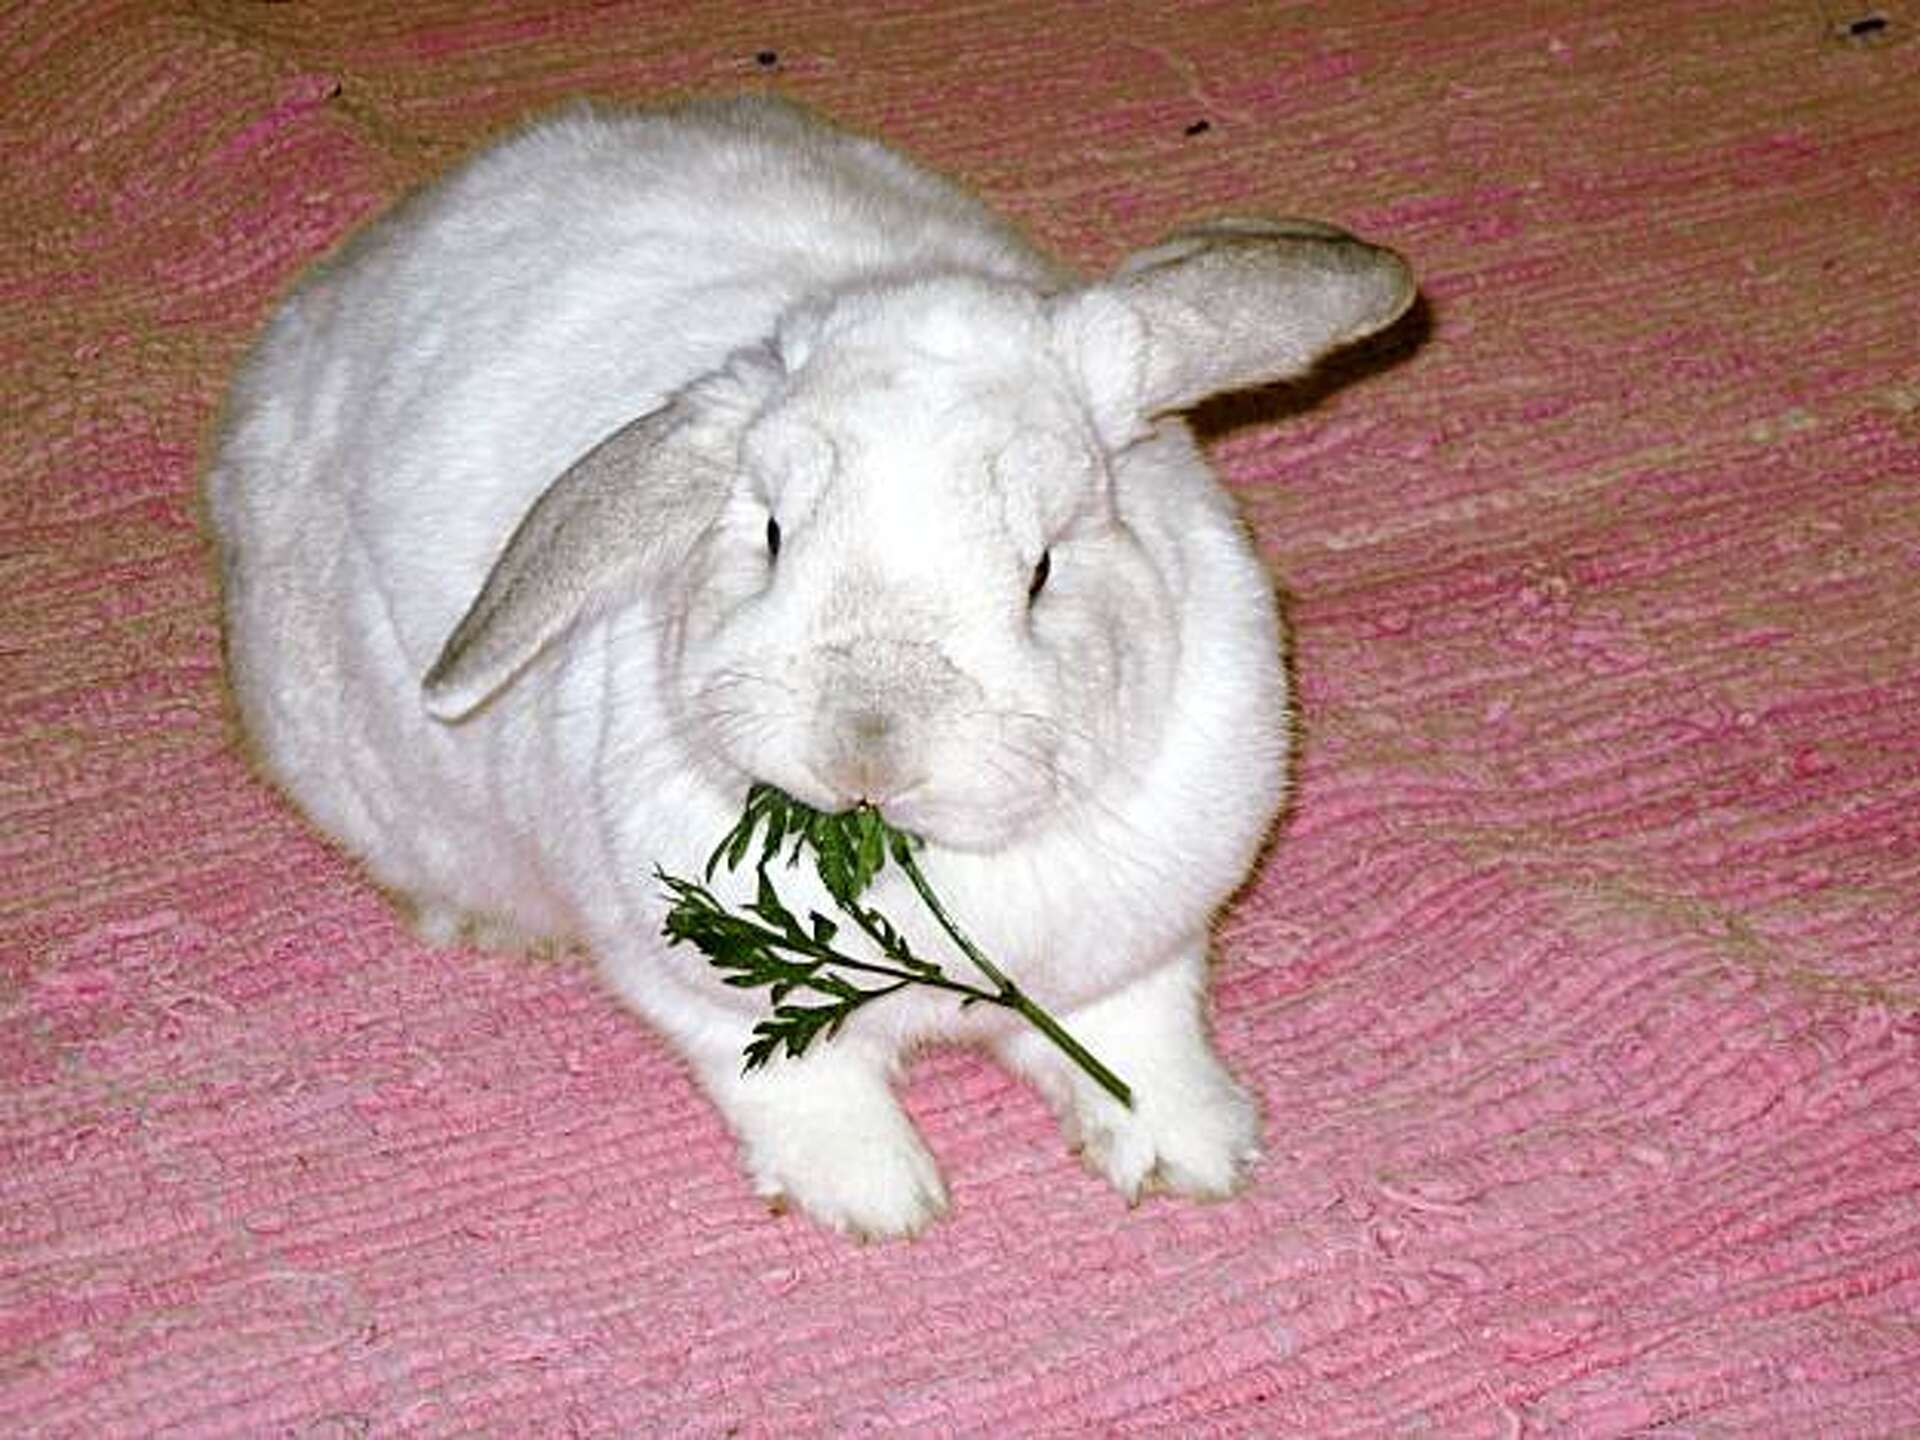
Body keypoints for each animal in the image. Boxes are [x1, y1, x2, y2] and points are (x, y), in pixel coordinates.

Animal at [205, 95, 1413, 1239]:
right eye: (775, 534)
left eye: (1042, 569)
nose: (869, 745)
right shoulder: (702, 998)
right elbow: (805, 1089)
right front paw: (883, 1202)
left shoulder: (1141, 953)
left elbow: (1141, 1039)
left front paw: (1196, 1152)